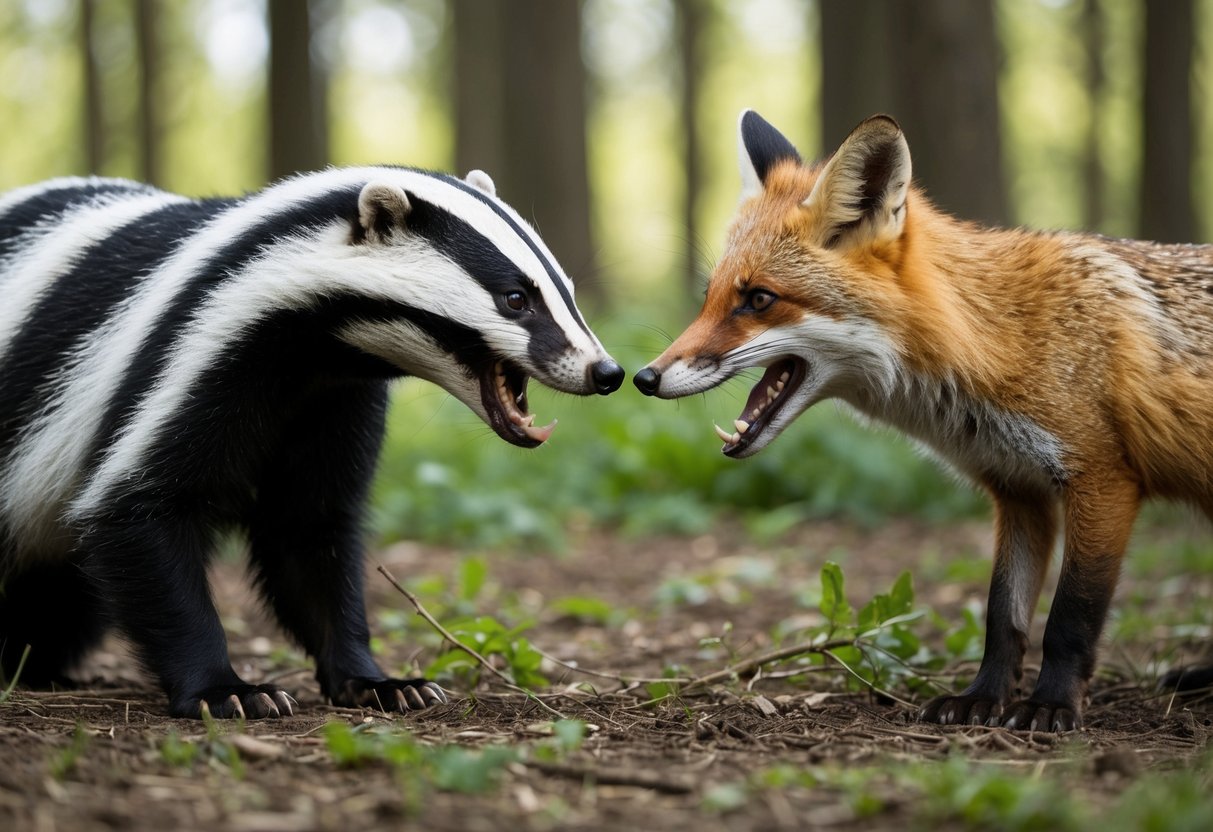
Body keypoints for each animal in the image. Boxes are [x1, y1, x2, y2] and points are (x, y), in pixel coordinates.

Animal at [634, 109, 1213, 732]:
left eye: (759, 299)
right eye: (709, 297)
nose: (643, 377)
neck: (994, 340)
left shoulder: (1102, 482)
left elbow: (1069, 617)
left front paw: (1051, 706)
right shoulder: (1020, 490)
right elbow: (1002, 618)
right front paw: (981, 699)